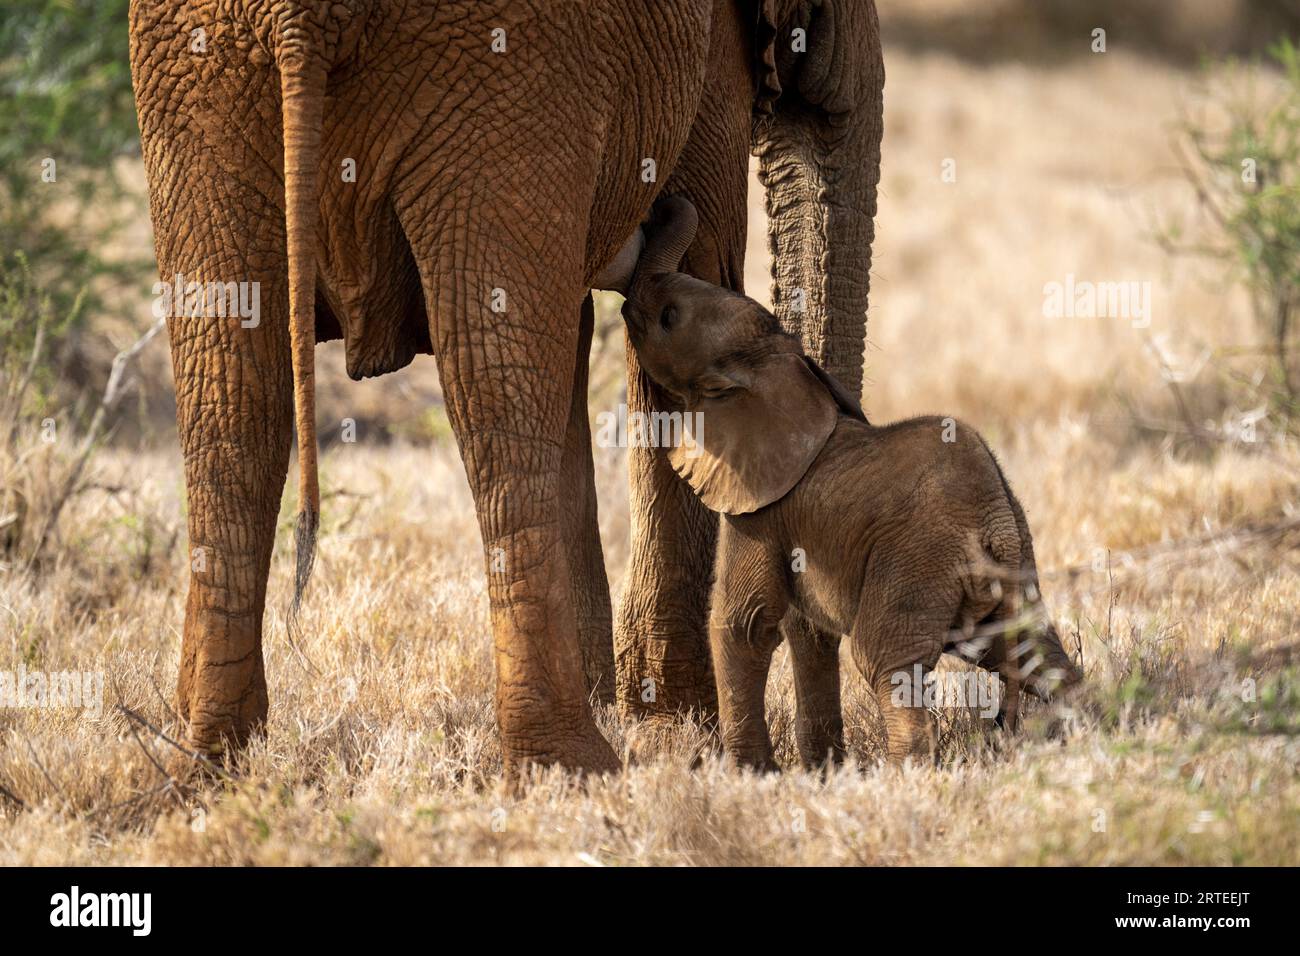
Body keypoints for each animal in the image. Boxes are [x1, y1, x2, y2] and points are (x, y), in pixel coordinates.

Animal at [128, 0, 884, 775]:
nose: (824, 761)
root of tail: (296, 16)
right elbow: (698, 271)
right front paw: (684, 735)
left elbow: (585, 328)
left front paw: (641, 714)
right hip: (508, 62)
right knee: (492, 386)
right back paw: (573, 766)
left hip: (198, 72)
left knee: (232, 386)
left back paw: (206, 758)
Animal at [606, 196, 1083, 769]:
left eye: (669, 317)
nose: (665, 203)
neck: (778, 366)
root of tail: (997, 531)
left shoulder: (763, 512)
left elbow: (744, 623)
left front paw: (752, 774)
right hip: (1017, 569)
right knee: (1040, 658)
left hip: (914, 563)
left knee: (885, 664)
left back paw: (904, 775)